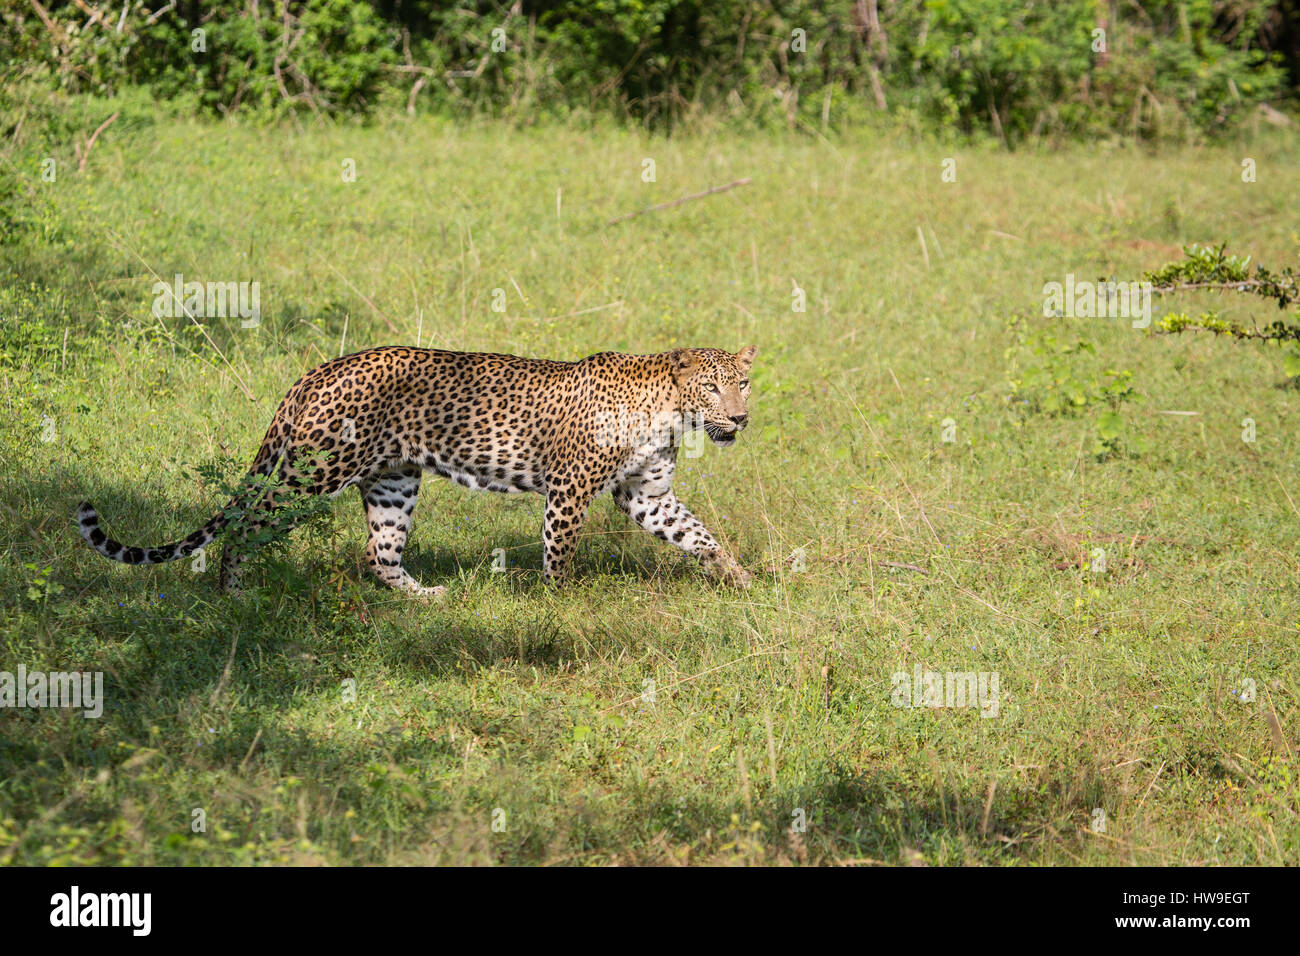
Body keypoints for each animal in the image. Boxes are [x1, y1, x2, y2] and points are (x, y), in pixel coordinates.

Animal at [75, 344, 758, 596]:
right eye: (713, 386)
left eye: (744, 382)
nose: (741, 418)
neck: (670, 412)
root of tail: (316, 372)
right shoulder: (569, 490)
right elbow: (559, 555)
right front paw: (560, 606)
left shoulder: (645, 495)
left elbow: (698, 534)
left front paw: (743, 579)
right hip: (312, 474)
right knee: (246, 526)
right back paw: (233, 594)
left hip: (393, 481)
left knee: (378, 554)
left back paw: (425, 599)